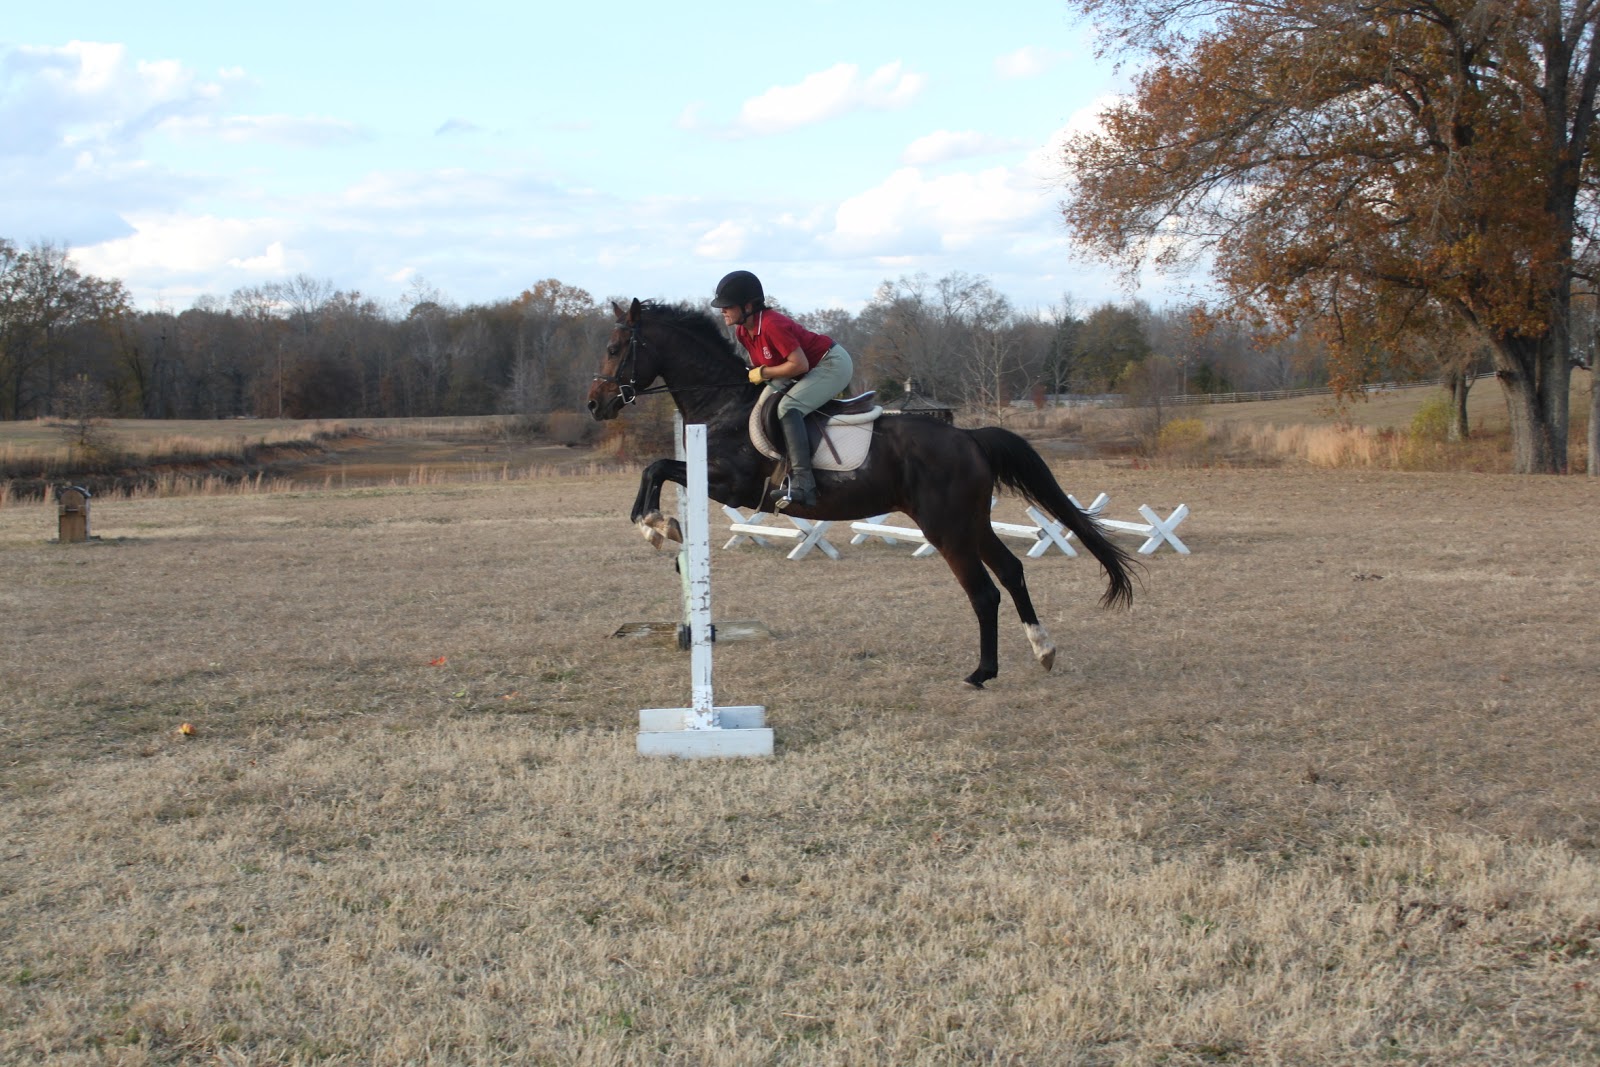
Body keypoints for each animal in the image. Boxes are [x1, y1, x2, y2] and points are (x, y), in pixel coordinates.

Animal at [586, 298, 1136, 689]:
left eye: (614, 350)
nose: (595, 405)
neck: (721, 404)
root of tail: (968, 437)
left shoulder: (732, 484)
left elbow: (657, 468)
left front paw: (656, 525)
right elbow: (656, 469)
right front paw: (658, 525)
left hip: (946, 528)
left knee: (983, 591)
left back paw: (981, 673)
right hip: (973, 522)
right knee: (1012, 572)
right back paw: (1042, 650)